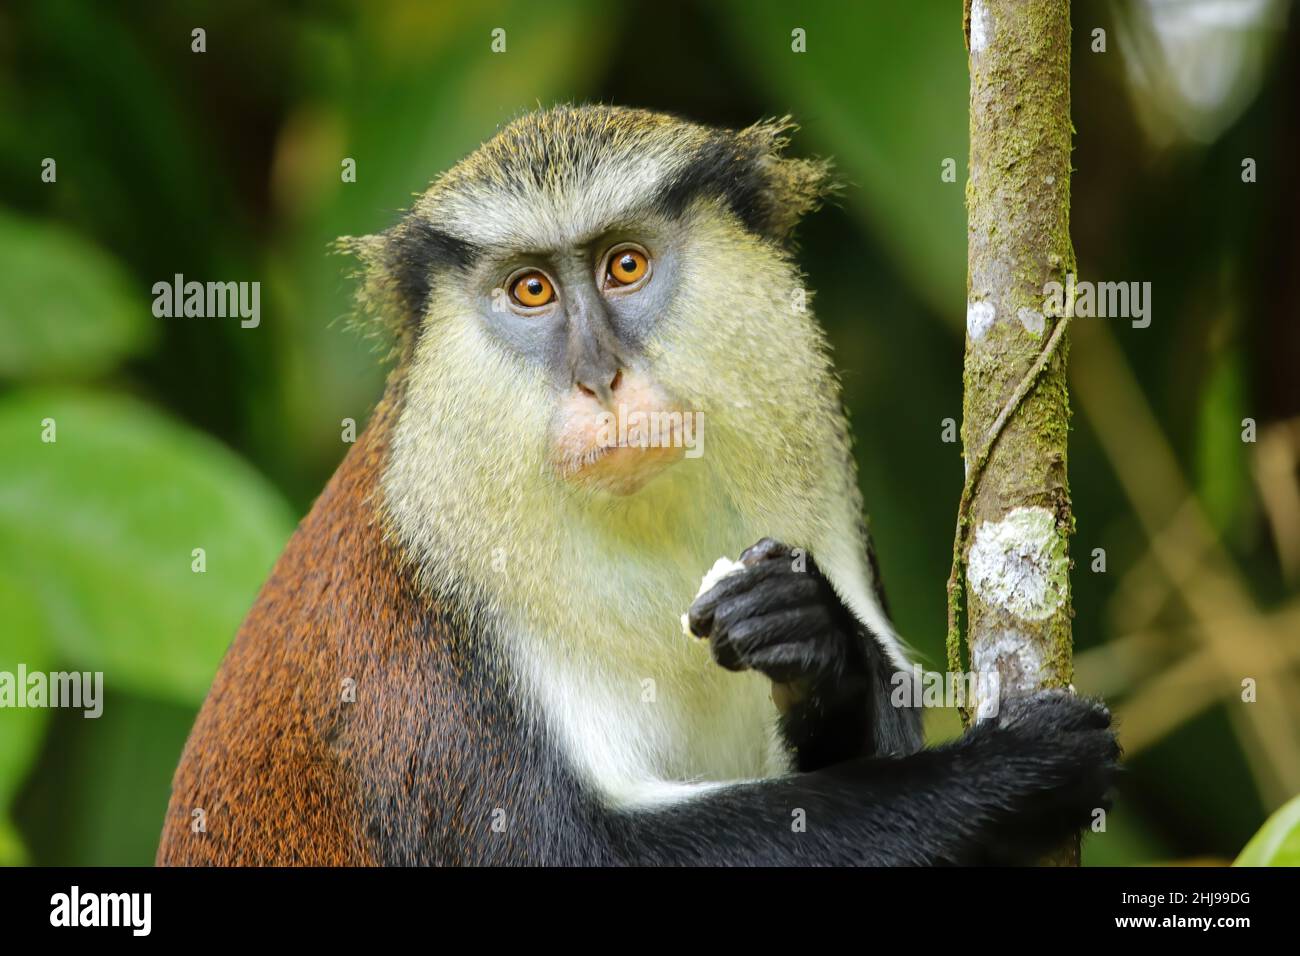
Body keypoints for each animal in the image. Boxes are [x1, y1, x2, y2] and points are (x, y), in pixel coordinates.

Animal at [156, 105, 1119, 866]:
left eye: (625, 266)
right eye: (531, 289)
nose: (599, 379)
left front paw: (812, 633)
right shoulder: (420, 648)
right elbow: (578, 852)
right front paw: (1015, 772)